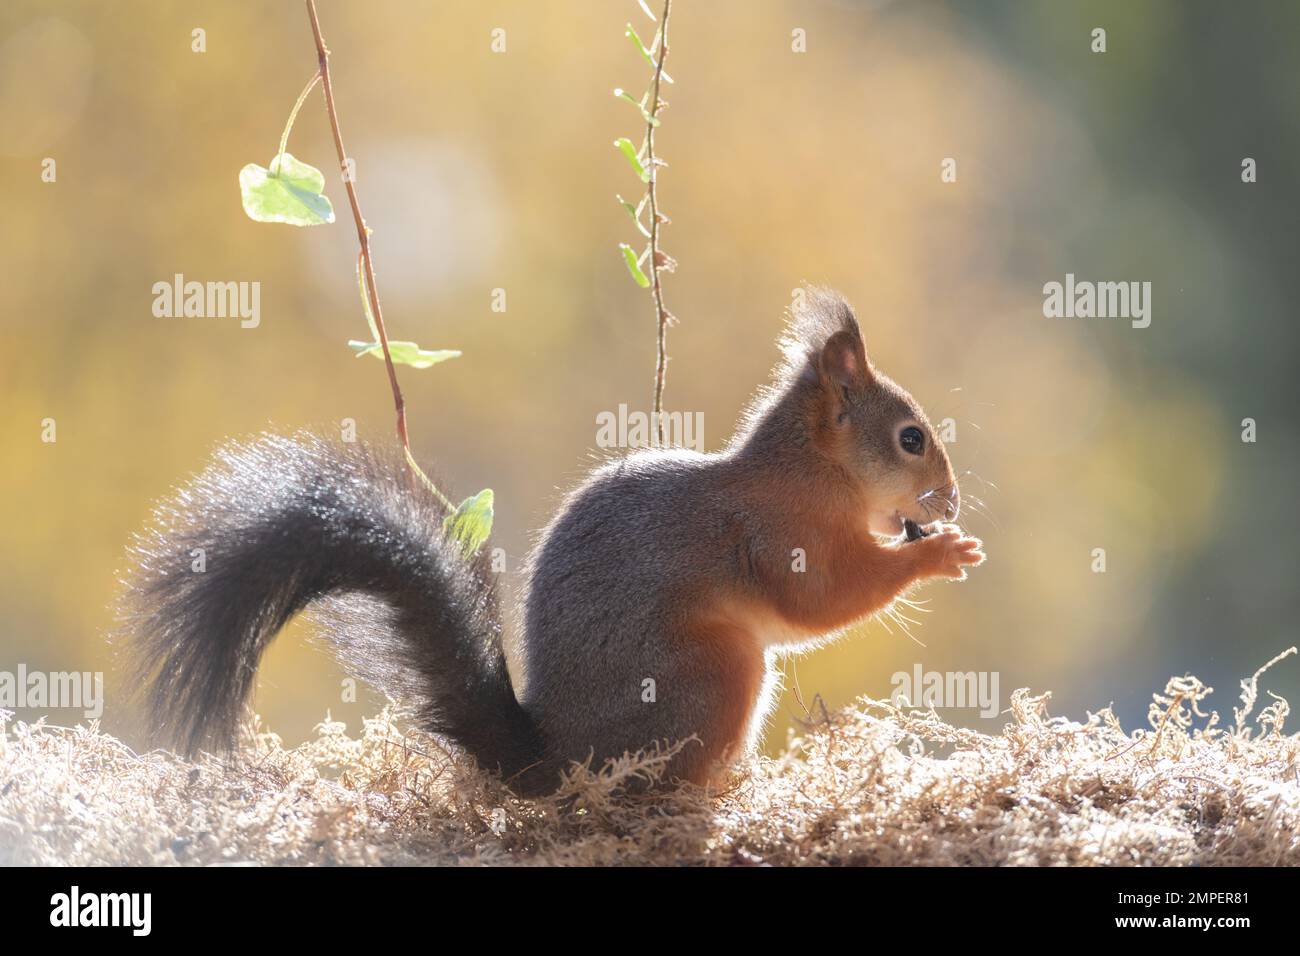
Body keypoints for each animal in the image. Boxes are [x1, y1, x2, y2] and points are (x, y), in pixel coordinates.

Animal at [123, 288, 984, 795]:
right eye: (910, 438)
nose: (950, 498)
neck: (813, 475)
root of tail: (554, 759)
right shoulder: (779, 536)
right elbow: (822, 601)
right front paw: (940, 554)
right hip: (715, 673)